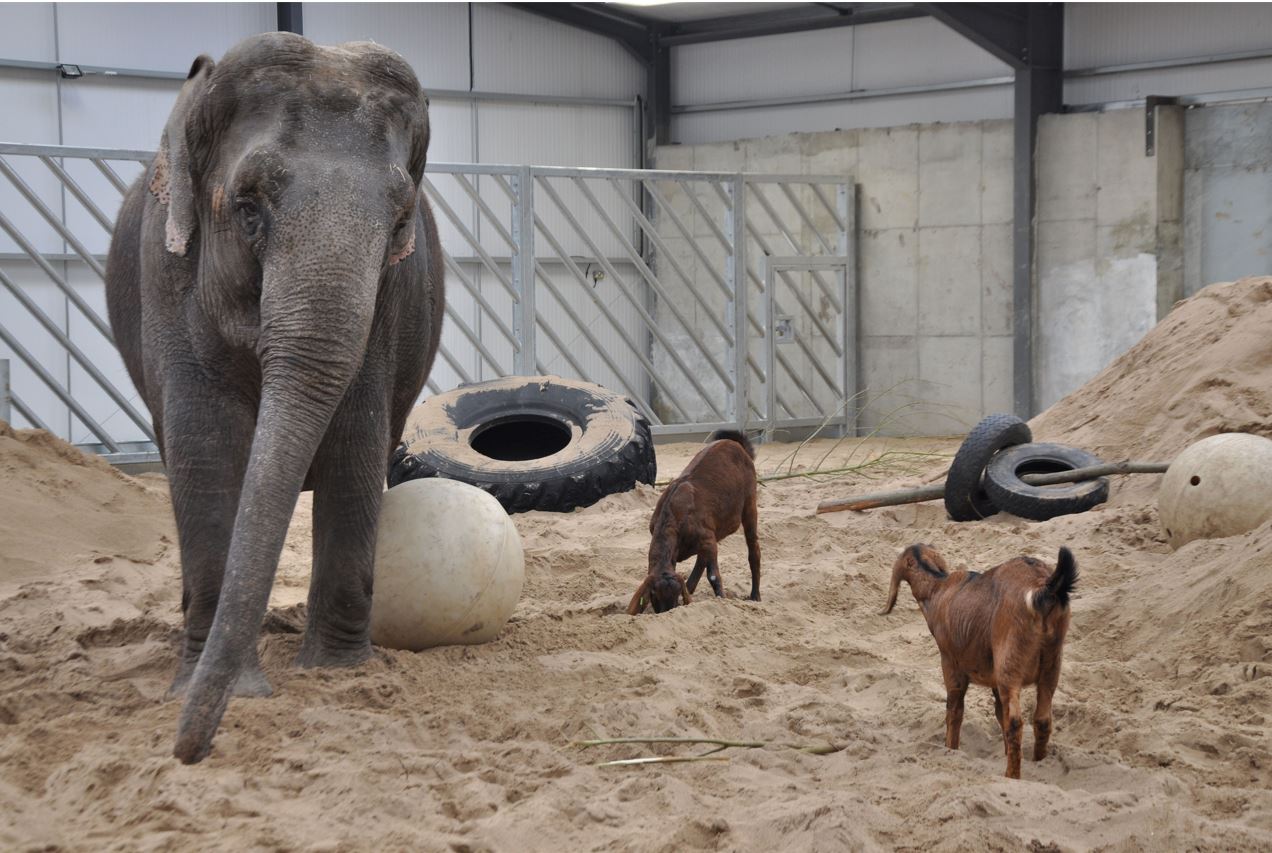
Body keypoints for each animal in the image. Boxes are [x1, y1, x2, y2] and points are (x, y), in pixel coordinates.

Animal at [104, 32, 444, 764]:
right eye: (248, 207)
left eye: (400, 220)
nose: (188, 751)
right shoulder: (166, 276)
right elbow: (204, 445)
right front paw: (225, 690)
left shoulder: (391, 300)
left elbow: (355, 436)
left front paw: (336, 674)